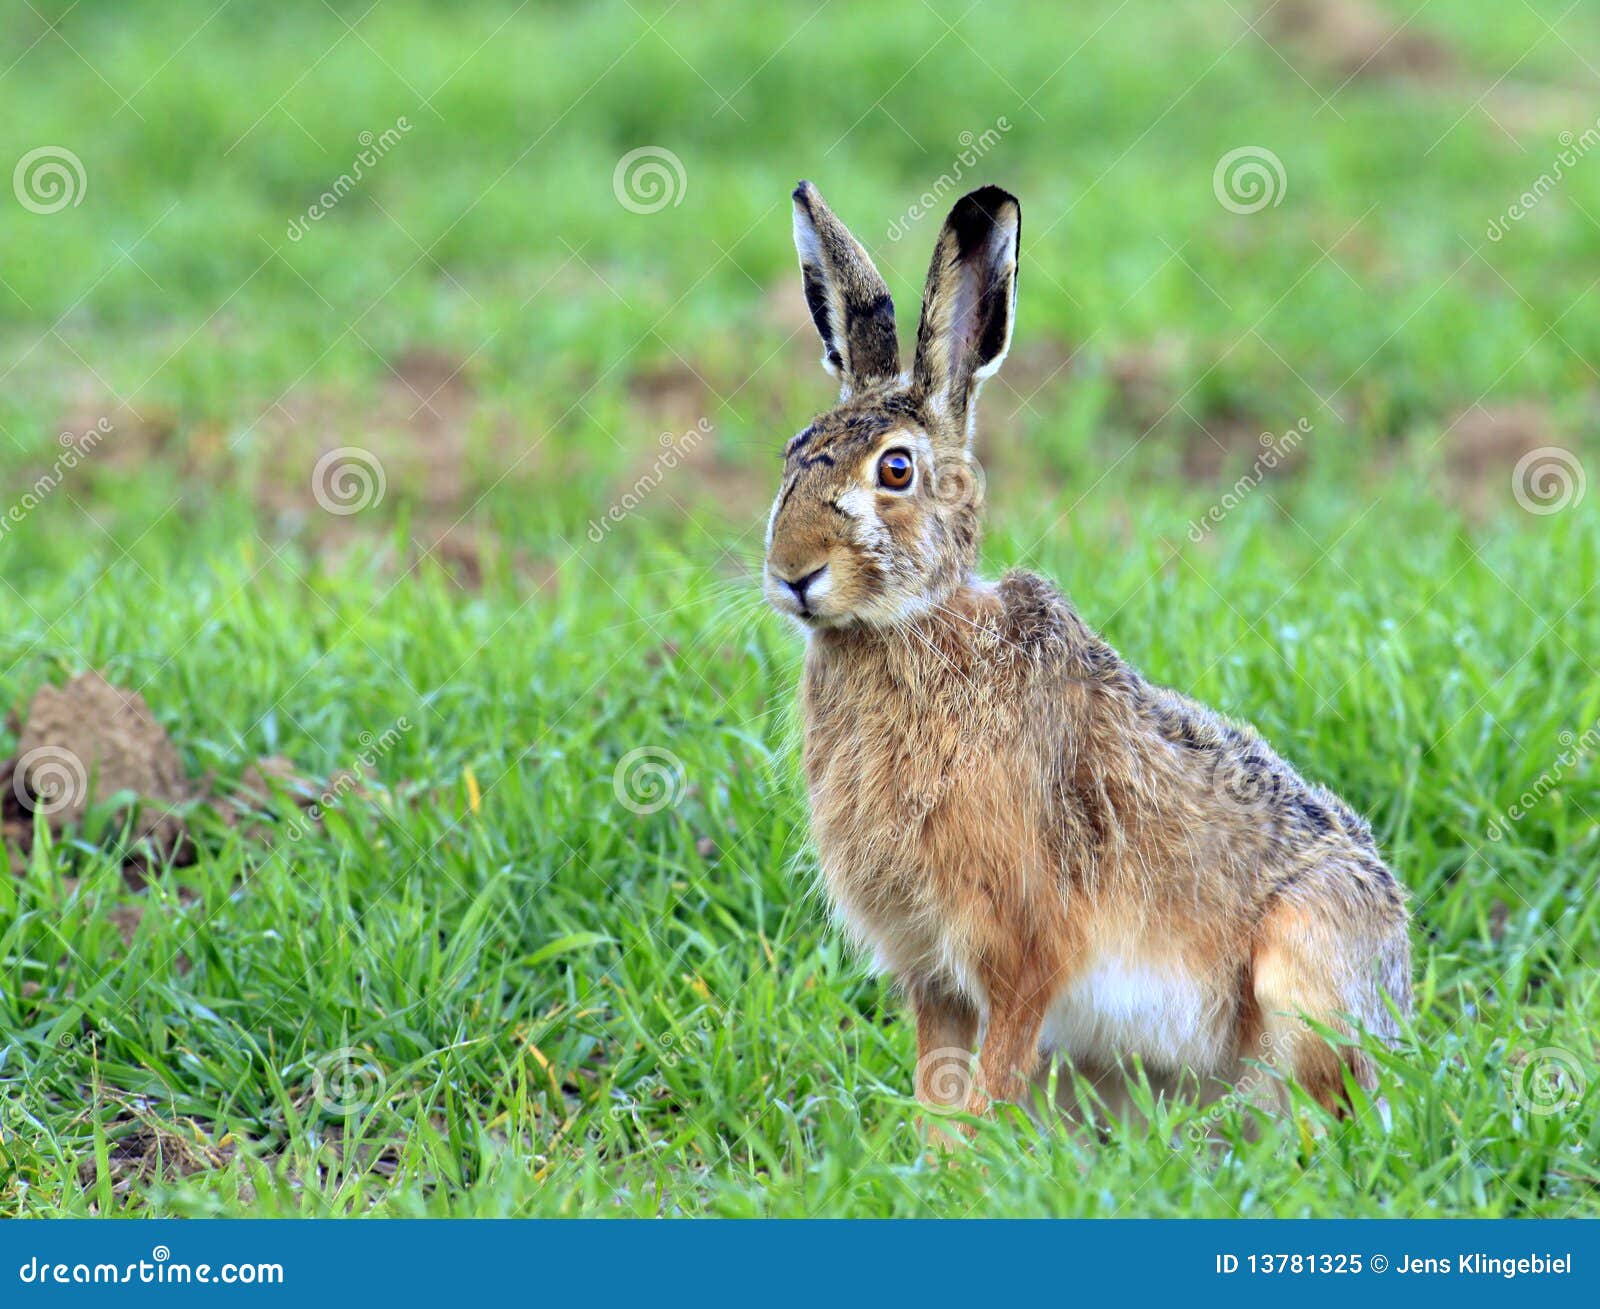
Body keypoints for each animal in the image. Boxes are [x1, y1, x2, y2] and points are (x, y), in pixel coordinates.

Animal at [763, 180, 1411, 1129]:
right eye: (792, 454)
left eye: (896, 470)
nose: (791, 574)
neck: (912, 629)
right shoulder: (930, 971)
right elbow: (938, 1081)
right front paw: (929, 1152)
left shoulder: (1022, 949)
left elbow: (994, 1070)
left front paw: (970, 1154)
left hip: (1304, 955)